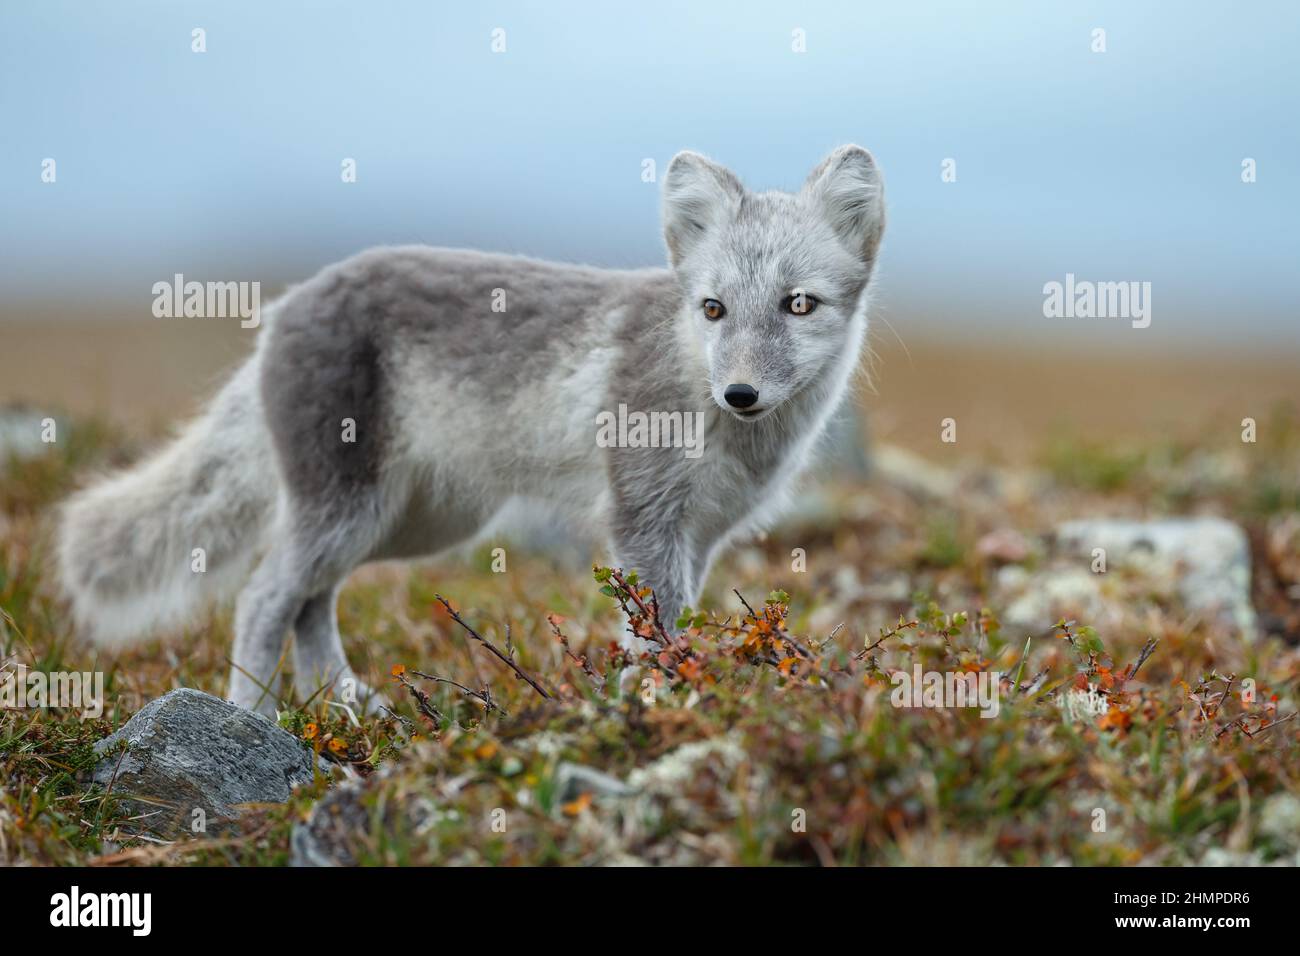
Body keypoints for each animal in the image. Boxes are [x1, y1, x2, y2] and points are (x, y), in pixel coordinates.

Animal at [56, 145, 886, 716]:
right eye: (714, 309)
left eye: (799, 305)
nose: (739, 392)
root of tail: (282, 308)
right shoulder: (642, 518)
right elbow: (651, 627)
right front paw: (656, 694)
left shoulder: (702, 534)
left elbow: (674, 619)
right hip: (349, 510)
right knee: (264, 596)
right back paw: (255, 715)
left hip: (414, 522)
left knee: (310, 602)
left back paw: (346, 703)